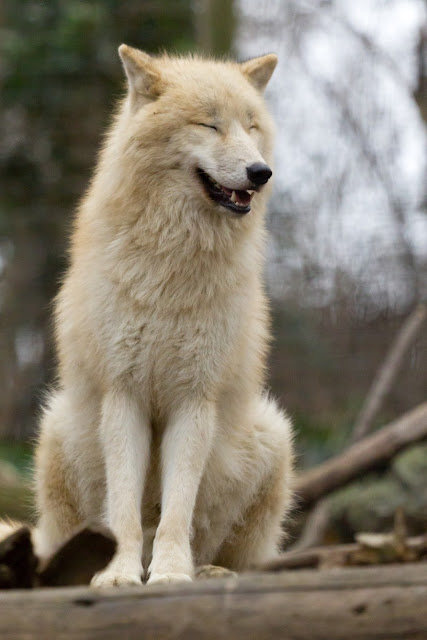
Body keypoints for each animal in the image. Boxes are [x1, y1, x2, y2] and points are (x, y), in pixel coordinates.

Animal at [27, 45, 294, 587]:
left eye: (251, 126)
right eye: (209, 125)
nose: (261, 172)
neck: (172, 264)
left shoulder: (194, 398)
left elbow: (178, 508)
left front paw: (170, 572)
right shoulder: (123, 394)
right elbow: (125, 507)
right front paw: (121, 574)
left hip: (274, 432)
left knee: (241, 555)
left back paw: (211, 570)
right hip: (57, 427)